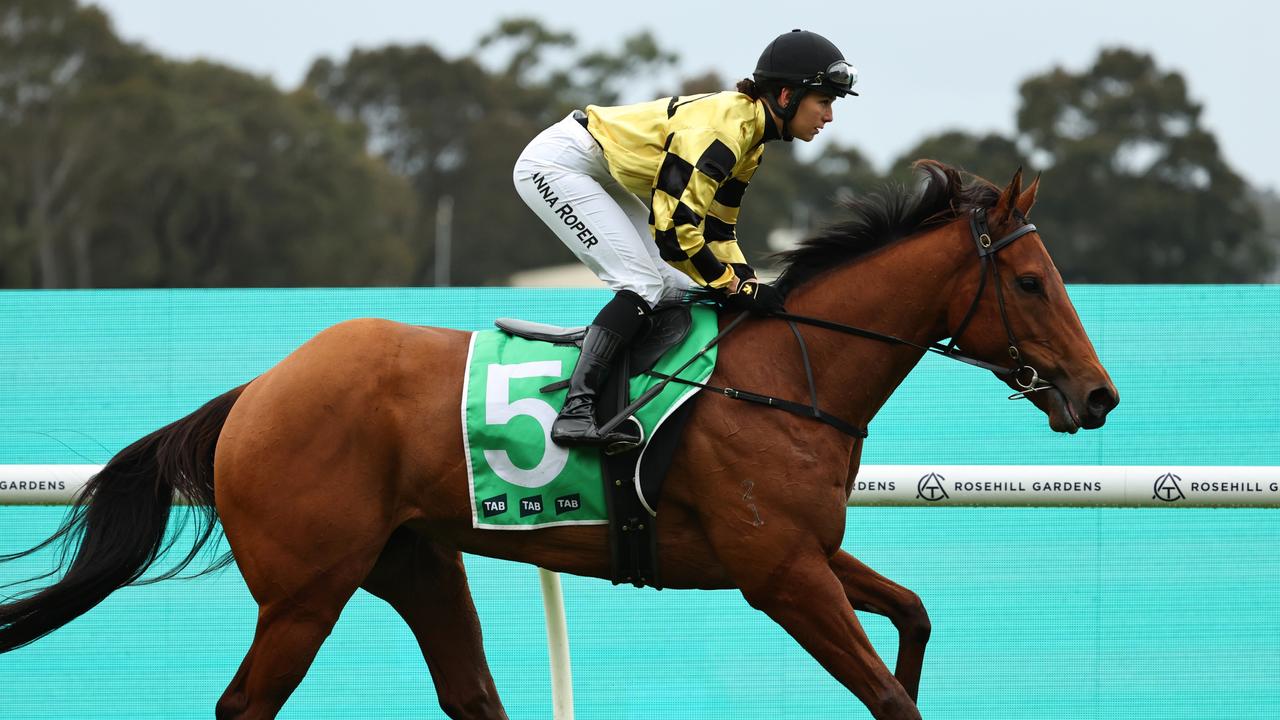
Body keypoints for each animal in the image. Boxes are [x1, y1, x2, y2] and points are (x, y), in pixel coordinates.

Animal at [0, 161, 1118, 720]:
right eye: (1030, 283)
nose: (1097, 396)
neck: (783, 380)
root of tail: (256, 391)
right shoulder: (778, 574)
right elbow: (884, 691)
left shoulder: (805, 549)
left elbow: (914, 618)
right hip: (304, 591)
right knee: (243, 706)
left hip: (413, 562)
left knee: (471, 695)